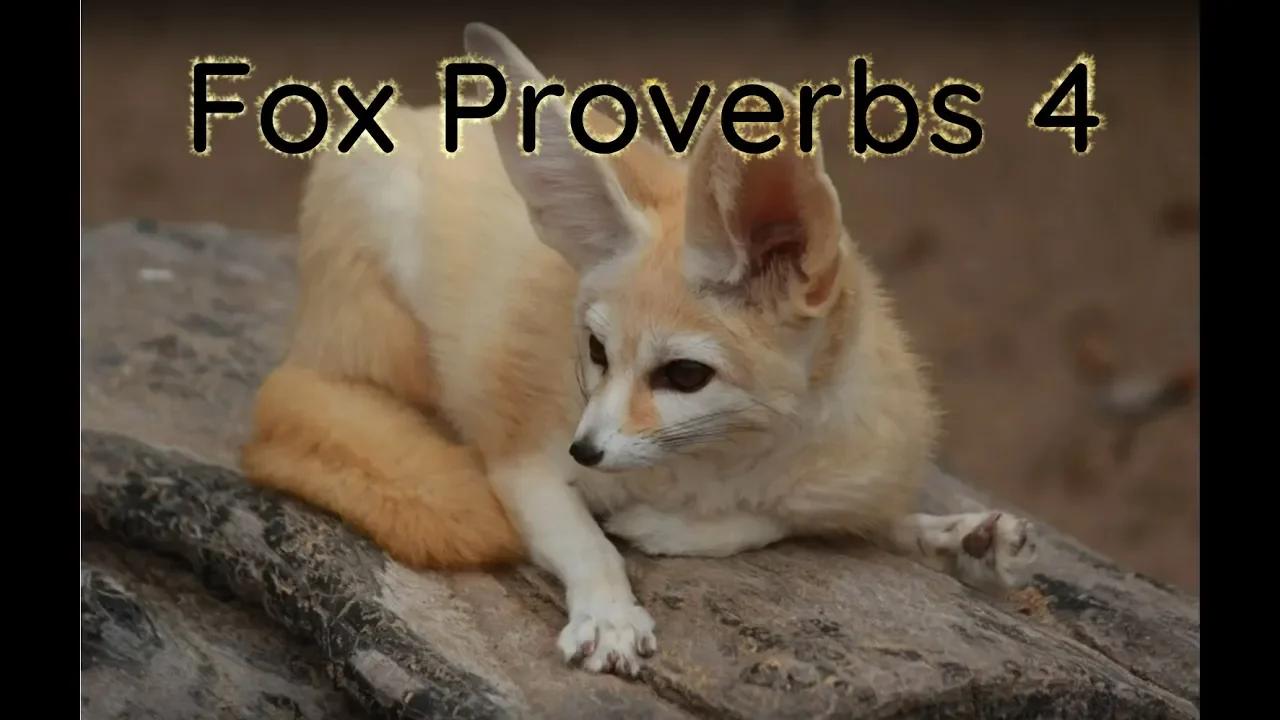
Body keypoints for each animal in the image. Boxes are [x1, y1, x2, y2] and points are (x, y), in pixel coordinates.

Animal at [240, 22, 1038, 678]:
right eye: (594, 350)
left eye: (684, 374)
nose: (585, 451)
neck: (717, 462)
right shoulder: (525, 462)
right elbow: (587, 542)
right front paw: (610, 610)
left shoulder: (852, 477)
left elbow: (800, 519)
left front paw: (952, 534)